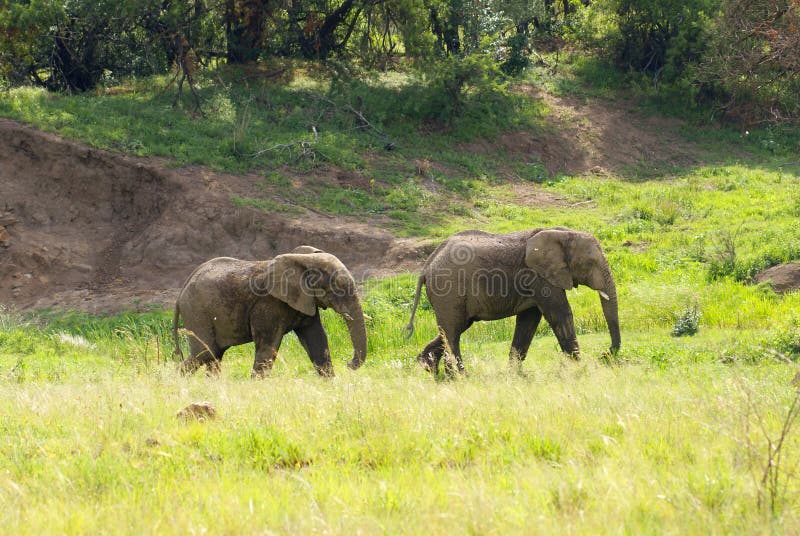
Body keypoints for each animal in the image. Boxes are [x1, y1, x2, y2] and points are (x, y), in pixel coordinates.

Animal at [173, 246, 367, 378]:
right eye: (337, 288)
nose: (348, 363)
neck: (303, 259)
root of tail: (181, 291)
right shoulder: (268, 304)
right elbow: (268, 345)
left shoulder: (305, 300)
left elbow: (317, 340)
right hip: (196, 311)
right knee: (205, 352)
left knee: (214, 355)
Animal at [405, 227, 620, 375]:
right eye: (589, 263)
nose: (605, 354)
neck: (562, 233)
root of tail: (426, 266)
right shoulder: (539, 276)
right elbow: (560, 314)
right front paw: (578, 369)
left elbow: (528, 321)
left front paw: (515, 375)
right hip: (447, 289)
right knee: (452, 332)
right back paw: (460, 377)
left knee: (453, 329)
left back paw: (430, 369)